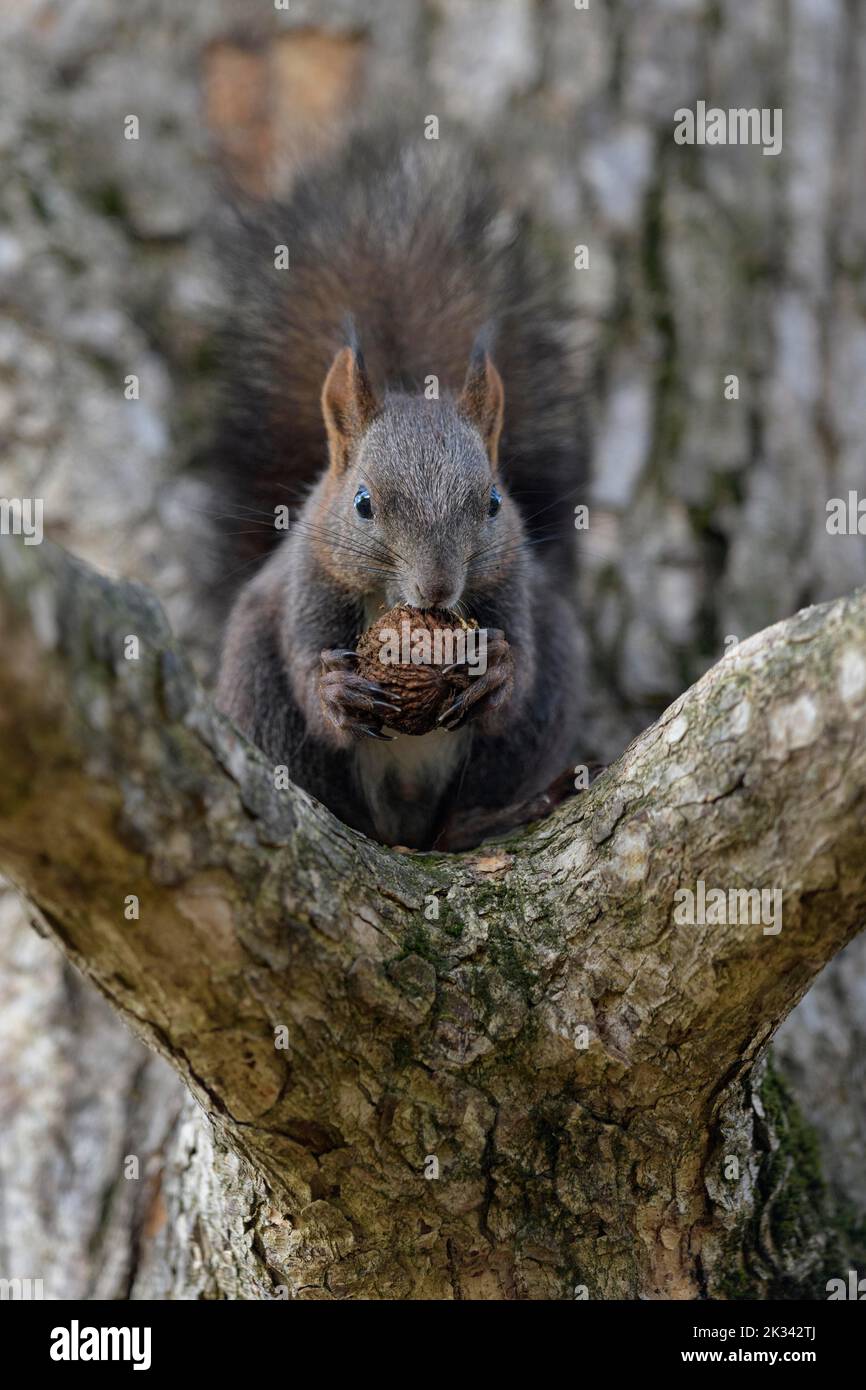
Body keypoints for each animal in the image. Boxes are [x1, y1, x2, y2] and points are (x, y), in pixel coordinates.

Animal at [214, 125, 587, 849]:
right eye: (363, 504)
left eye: (492, 502)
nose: (438, 590)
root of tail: (405, 827)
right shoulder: (309, 581)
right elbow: (306, 670)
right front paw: (333, 691)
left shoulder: (511, 582)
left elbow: (520, 669)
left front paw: (499, 671)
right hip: (254, 681)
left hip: (548, 690)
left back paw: (489, 817)